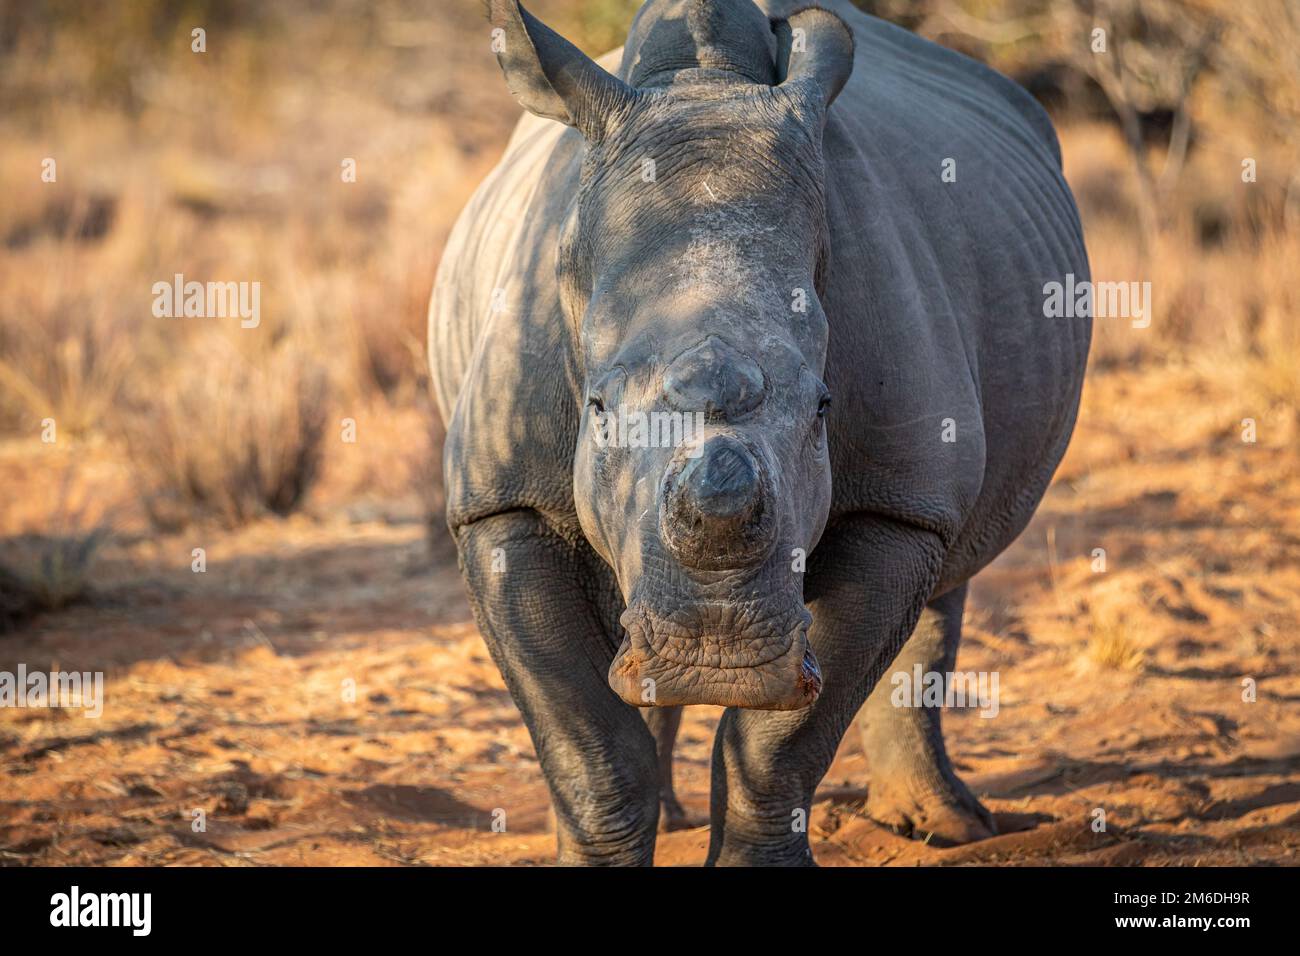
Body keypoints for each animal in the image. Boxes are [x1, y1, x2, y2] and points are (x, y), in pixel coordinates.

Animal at [428, 0, 1090, 865]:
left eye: (823, 407)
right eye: (597, 408)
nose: (718, 654)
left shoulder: (897, 502)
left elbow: (779, 745)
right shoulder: (500, 501)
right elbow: (590, 747)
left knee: (945, 575)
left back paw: (946, 827)